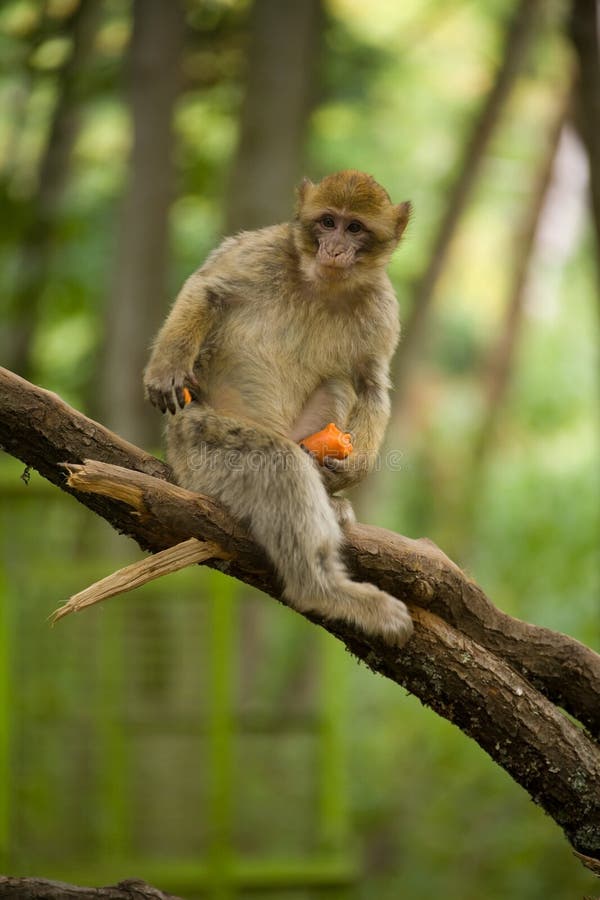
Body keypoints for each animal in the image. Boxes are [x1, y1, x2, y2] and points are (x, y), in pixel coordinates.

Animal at [143, 170, 413, 647]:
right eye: (327, 222)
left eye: (355, 228)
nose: (334, 248)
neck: (322, 284)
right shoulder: (263, 251)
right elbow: (208, 289)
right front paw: (168, 367)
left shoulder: (382, 306)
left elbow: (371, 385)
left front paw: (353, 468)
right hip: (199, 443)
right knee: (277, 461)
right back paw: (323, 590)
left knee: (338, 387)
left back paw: (329, 496)